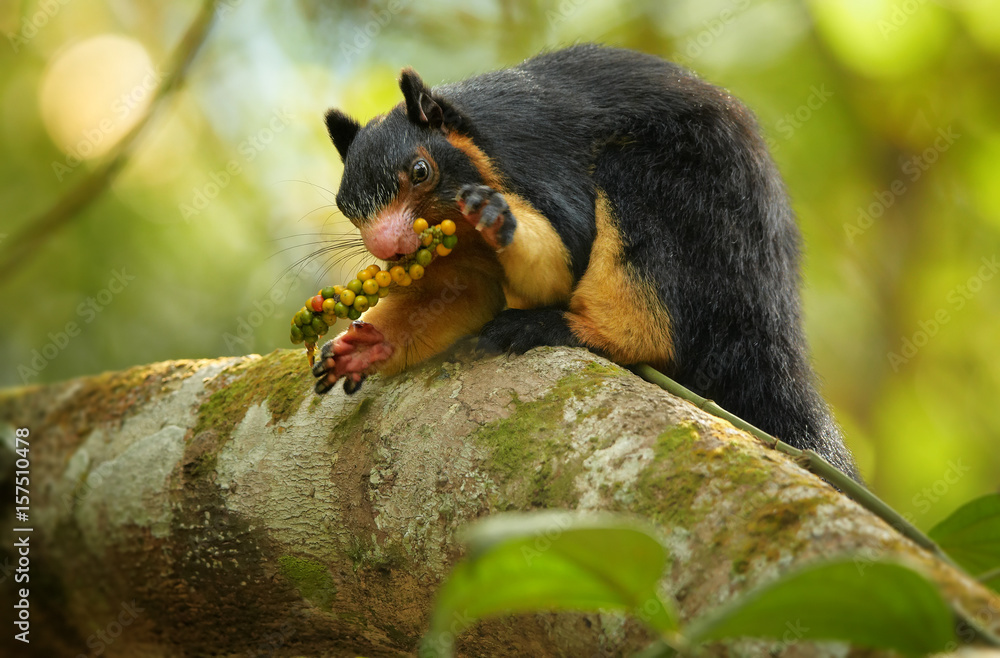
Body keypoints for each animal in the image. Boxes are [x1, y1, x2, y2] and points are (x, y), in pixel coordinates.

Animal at [312, 44, 859, 480]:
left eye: (421, 171)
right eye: (345, 206)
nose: (388, 247)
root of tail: (770, 313)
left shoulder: (536, 165)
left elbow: (564, 253)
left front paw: (500, 218)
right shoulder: (455, 258)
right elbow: (464, 290)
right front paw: (365, 346)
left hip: (683, 199)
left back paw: (566, 327)